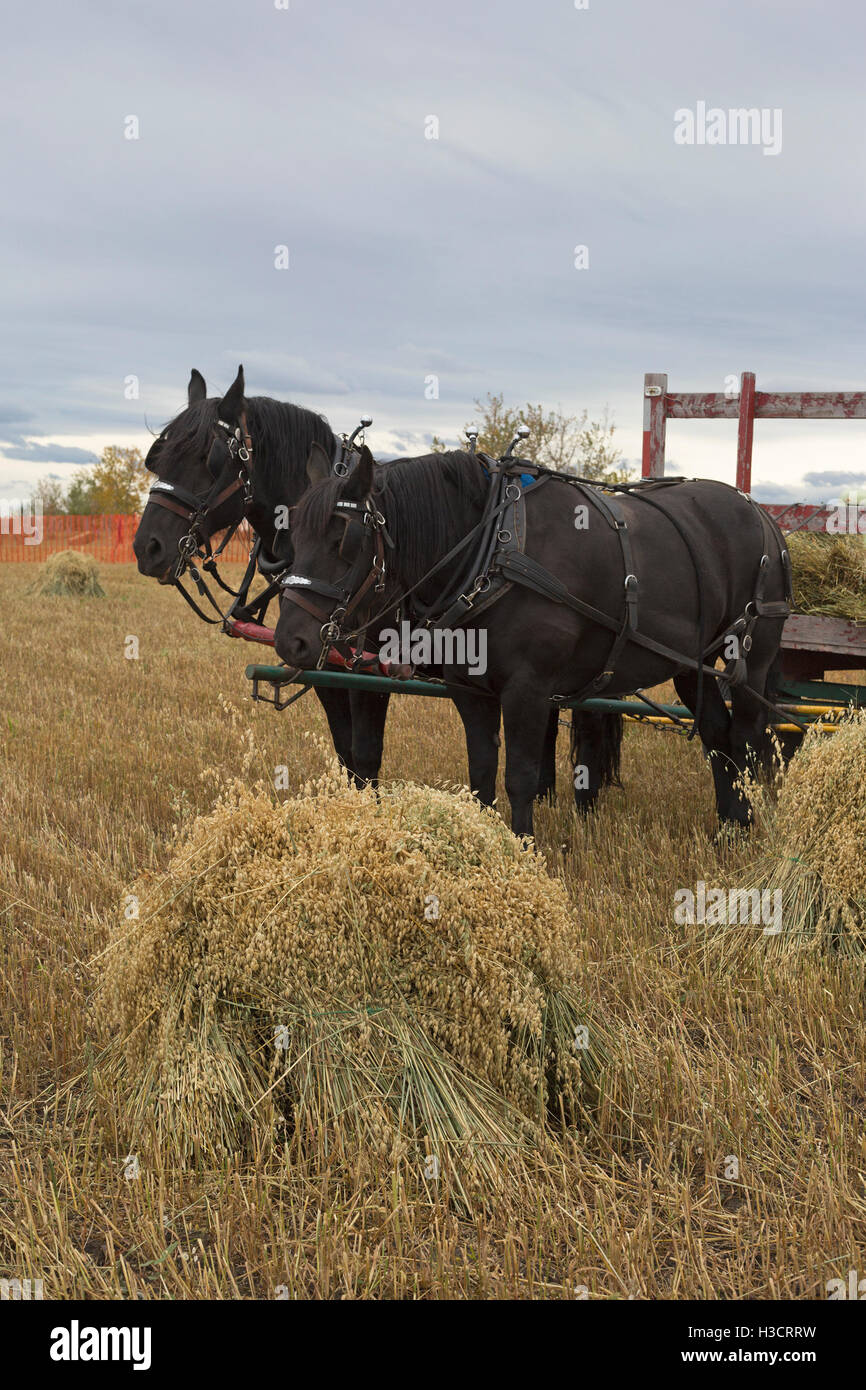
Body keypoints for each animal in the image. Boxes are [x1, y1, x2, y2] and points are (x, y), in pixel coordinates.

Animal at [273, 444, 792, 839]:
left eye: (344, 538)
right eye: (292, 531)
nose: (289, 642)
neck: (496, 547)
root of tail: (762, 514)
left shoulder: (528, 689)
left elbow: (519, 778)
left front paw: (525, 849)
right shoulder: (471, 691)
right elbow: (481, 774)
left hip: (754, 657)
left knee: (746, 736)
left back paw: (748, 823)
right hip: (690, 663)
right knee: (717, 735)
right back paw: (730, 825)